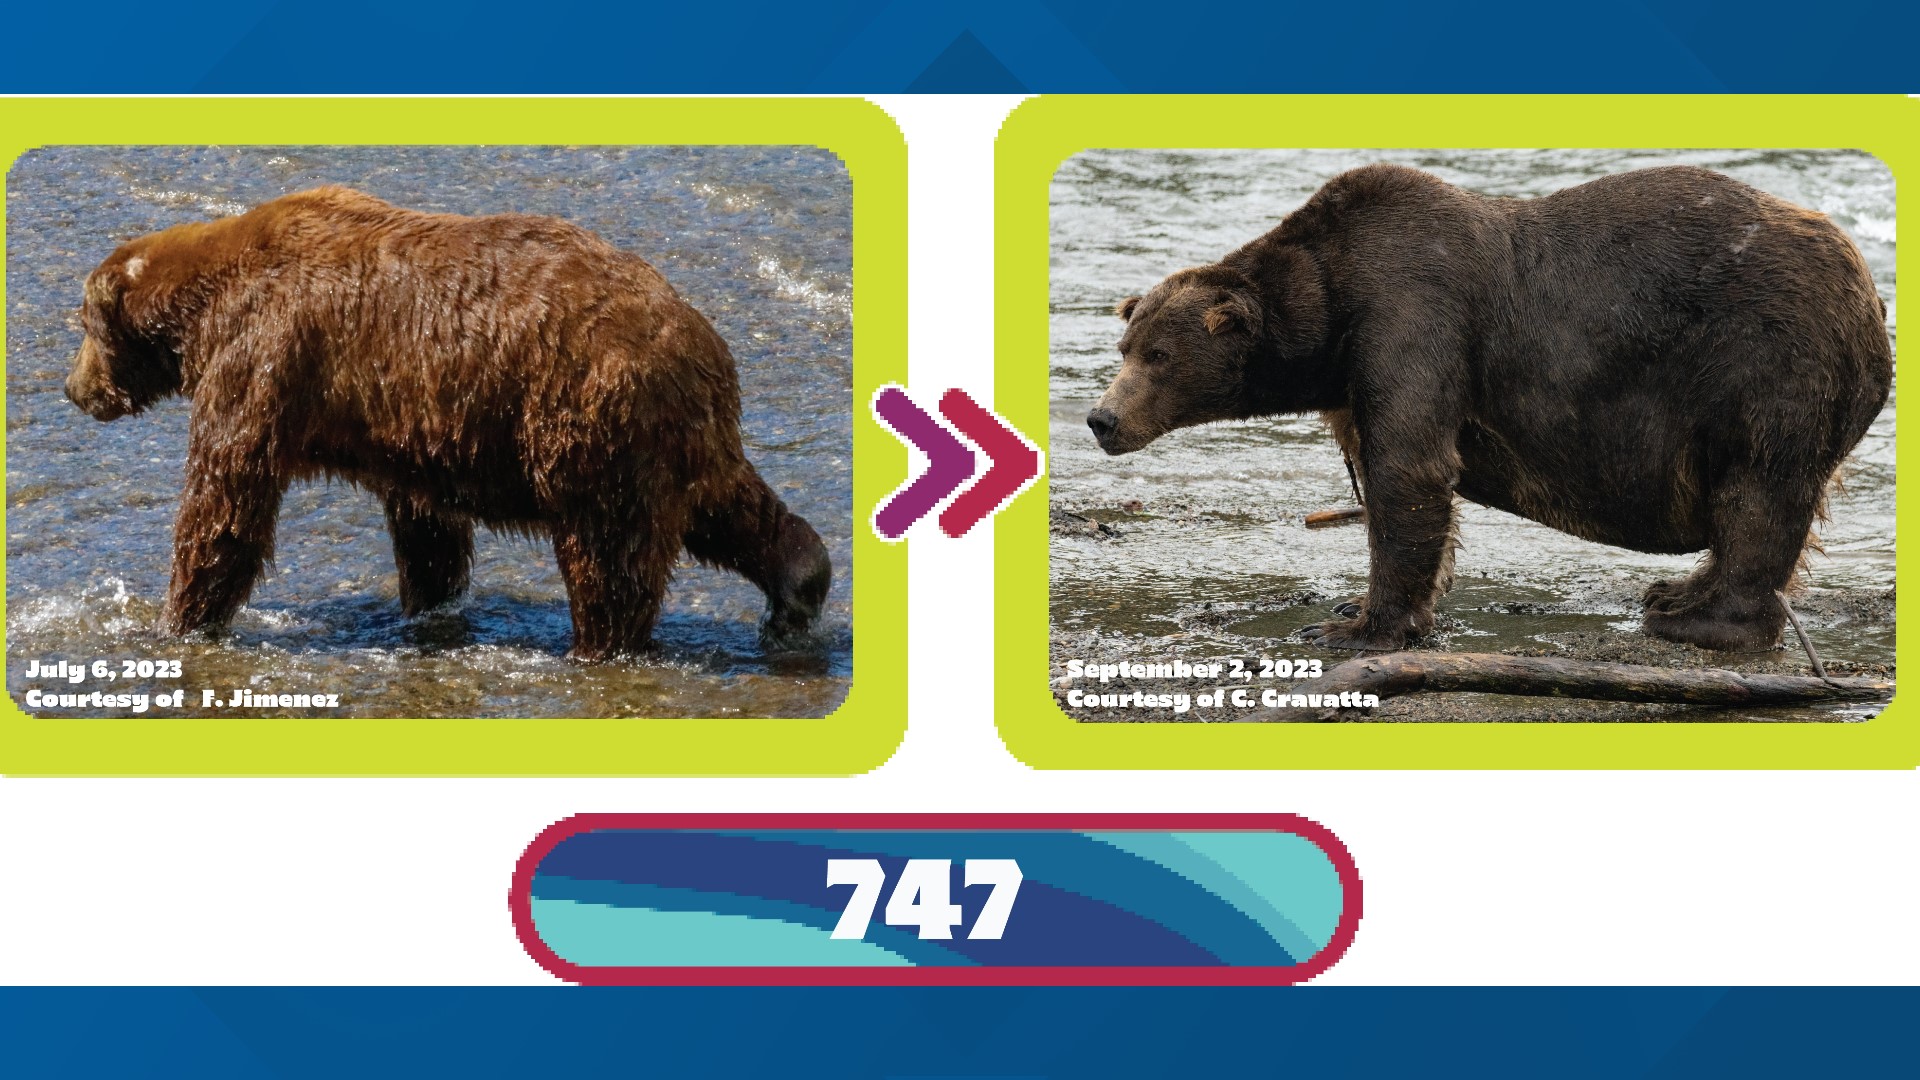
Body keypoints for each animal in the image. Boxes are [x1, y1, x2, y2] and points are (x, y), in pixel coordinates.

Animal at [63, 186, 831, 661]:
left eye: (85, 326)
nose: (73, 389)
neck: (202, 308)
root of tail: (697, 339)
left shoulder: (263, 357)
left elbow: (225, 503)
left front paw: (178, 621)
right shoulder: (411, 428)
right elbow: (427, 528)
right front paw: (428, 602)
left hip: (589, 422)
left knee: (609, 558)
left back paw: (596, 646)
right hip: (679, 438)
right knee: (736, 510)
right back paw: (798, 591)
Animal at [1089, 164, 1891, 653]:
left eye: (1158, 356)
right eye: (1125, 344)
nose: (1102, 420)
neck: (1329, 313)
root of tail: (1869, 293)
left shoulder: (1414, 314)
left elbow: (1409, 470)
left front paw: (1354, 626)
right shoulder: (1355, 371)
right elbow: (1391, 482)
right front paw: (1374, 608)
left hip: (1765, 357)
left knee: (1759, 488)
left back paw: (1695, 618)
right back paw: (1676, 588)